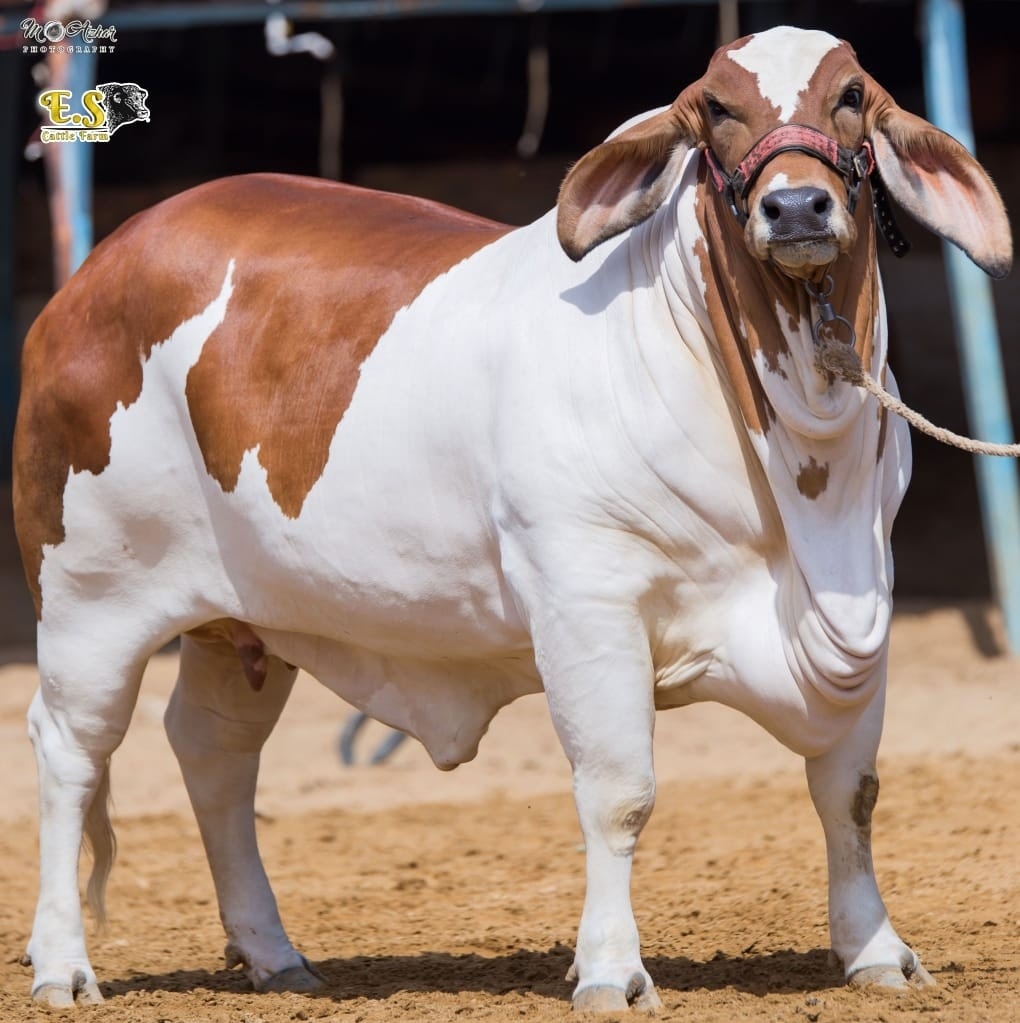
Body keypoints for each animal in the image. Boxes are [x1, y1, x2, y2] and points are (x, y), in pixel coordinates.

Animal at [13, 25, 1012, 1013]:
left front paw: (875, 949)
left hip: (243, 624)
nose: (796, 205)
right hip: (88, 599)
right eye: (716, 109)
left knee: (215, 751)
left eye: (850, 95)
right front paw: (610, 968)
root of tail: (97, 271)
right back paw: (63, 962)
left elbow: (850, 790)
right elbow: (619, 792)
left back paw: (273, 953)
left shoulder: (867, 600)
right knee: (69, 754)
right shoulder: (586, 606)